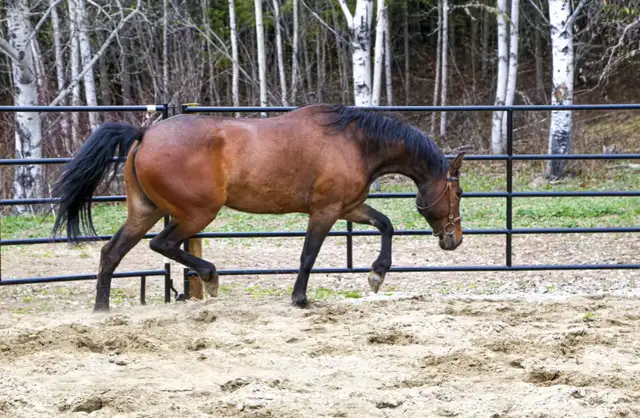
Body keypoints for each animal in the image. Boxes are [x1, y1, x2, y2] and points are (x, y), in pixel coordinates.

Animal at [50, 104, 466, 312]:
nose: (455, 239)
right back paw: (210, 278)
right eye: (459, 194)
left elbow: (386, 224)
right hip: (196, 213)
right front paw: (300, 299)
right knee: (162, 245)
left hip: (144, 211)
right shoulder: (325, 211)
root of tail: (145, 133)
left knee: (112, 251)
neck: (355, 141)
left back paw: (102, 309)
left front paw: (377, 275)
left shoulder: (349, 207)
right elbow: (308, 256)